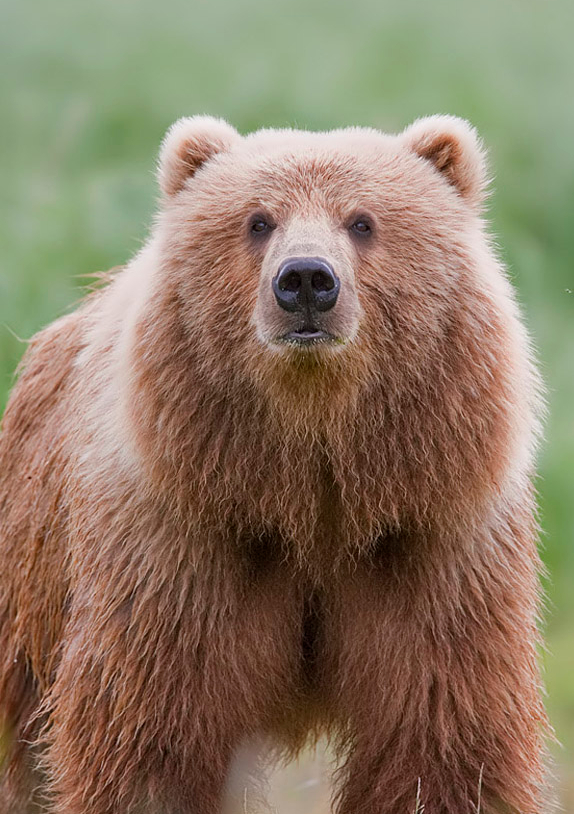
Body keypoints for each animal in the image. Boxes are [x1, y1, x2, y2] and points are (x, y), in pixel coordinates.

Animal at [0, 115, 549, 814]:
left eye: (362, 221)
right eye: (258, 220)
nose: (307, 279)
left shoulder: (432, 543)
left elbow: (443, 739)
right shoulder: (182, 549)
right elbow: (150, 739)